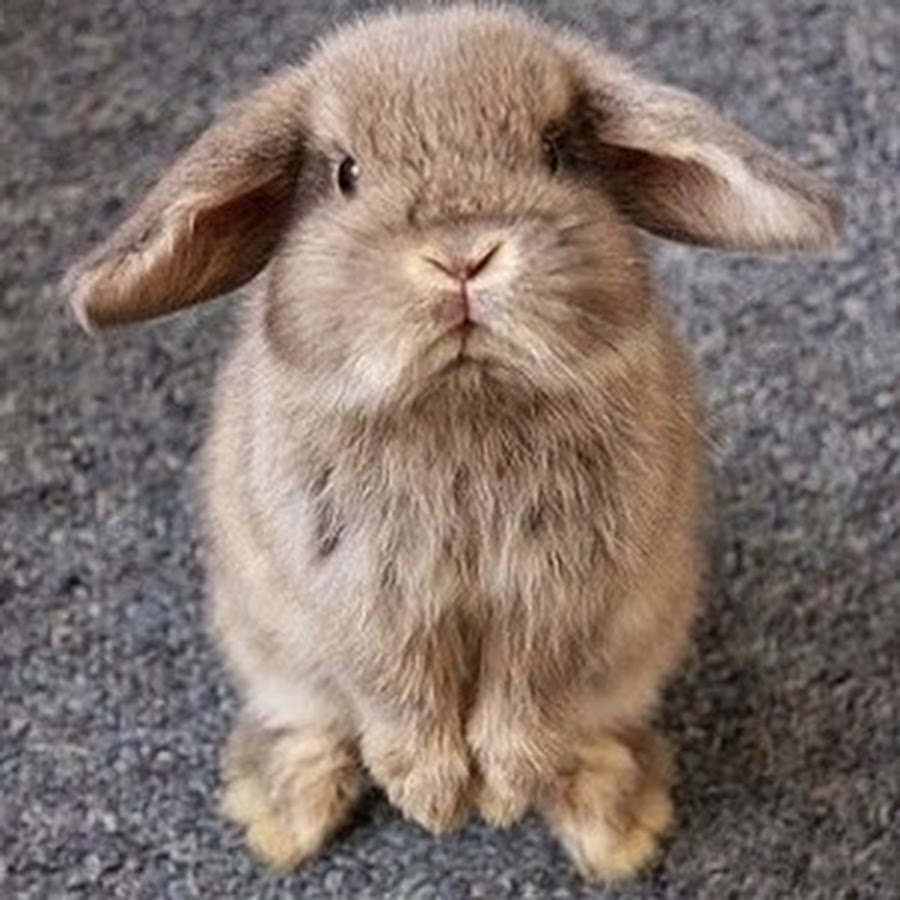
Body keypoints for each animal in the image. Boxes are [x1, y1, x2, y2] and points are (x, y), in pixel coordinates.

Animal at [63, 4, 841, 882]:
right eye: (347, 174)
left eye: (555, 152)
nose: (463, 256)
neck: (462, 400)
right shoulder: (360, 593)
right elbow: (395, 688)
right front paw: (433, 796)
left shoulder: (558, 596)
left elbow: (528, 690)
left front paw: (498, 791)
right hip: (266, 633)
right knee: (312, 722)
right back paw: (283, 819)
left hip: (640, 641)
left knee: (591, 725)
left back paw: (616, 827)